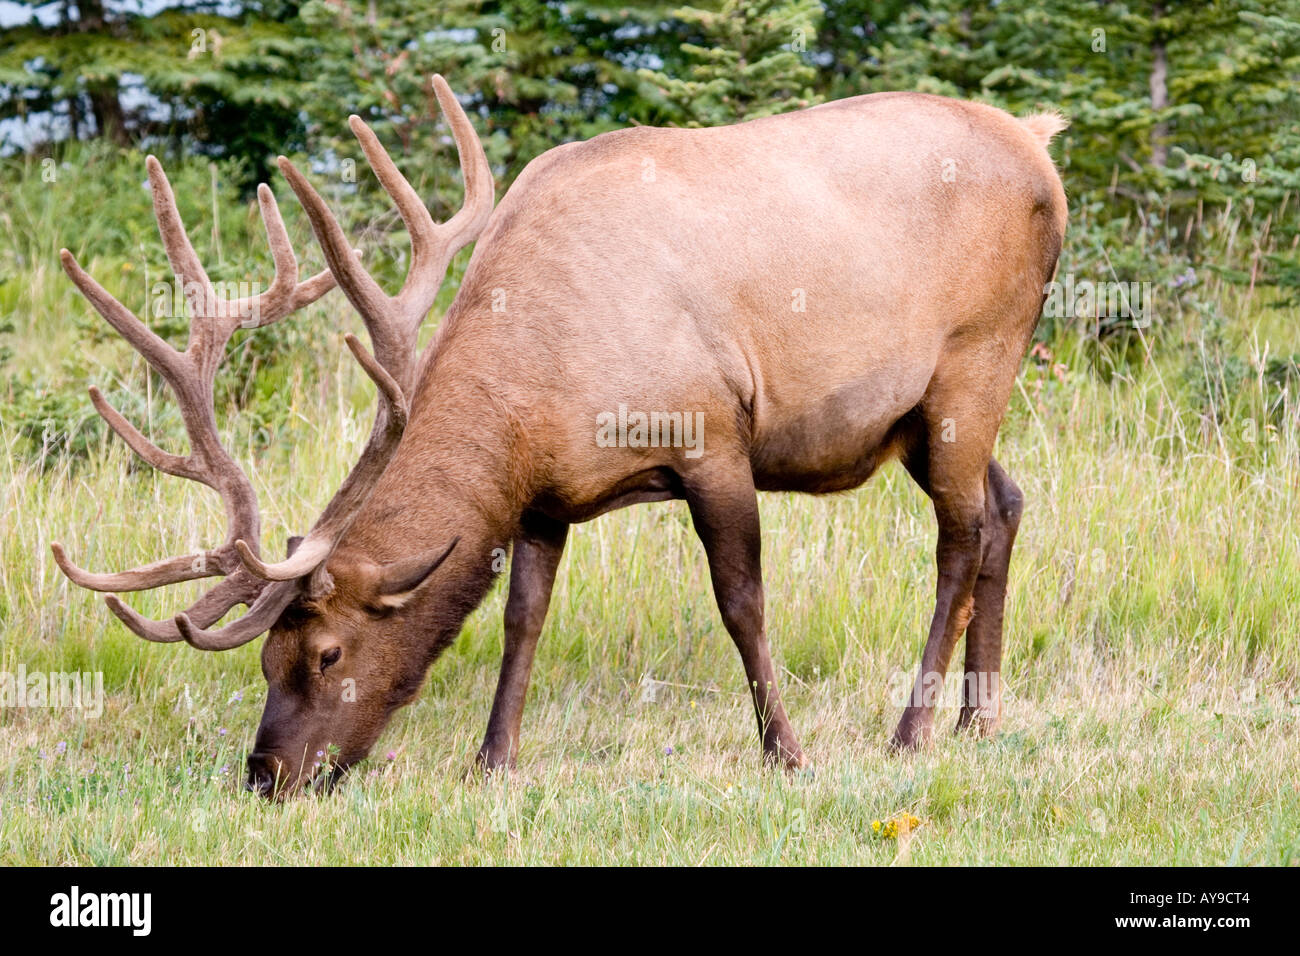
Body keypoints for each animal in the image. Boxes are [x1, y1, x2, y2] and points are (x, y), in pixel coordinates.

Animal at [52, 78, 1068, 798]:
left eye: (327, 654)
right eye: (265, 658)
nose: (265, 774)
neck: (543, 388)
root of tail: (1039, 143)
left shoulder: (712, 435)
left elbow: (741, 603)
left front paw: (787, 752)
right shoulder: (543, 496)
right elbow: (521, 616)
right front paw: (492, 758)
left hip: (975, 358)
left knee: (961, 533)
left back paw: (912, 729)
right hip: (924, 417)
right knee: (1008, 501)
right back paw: (979, 719)